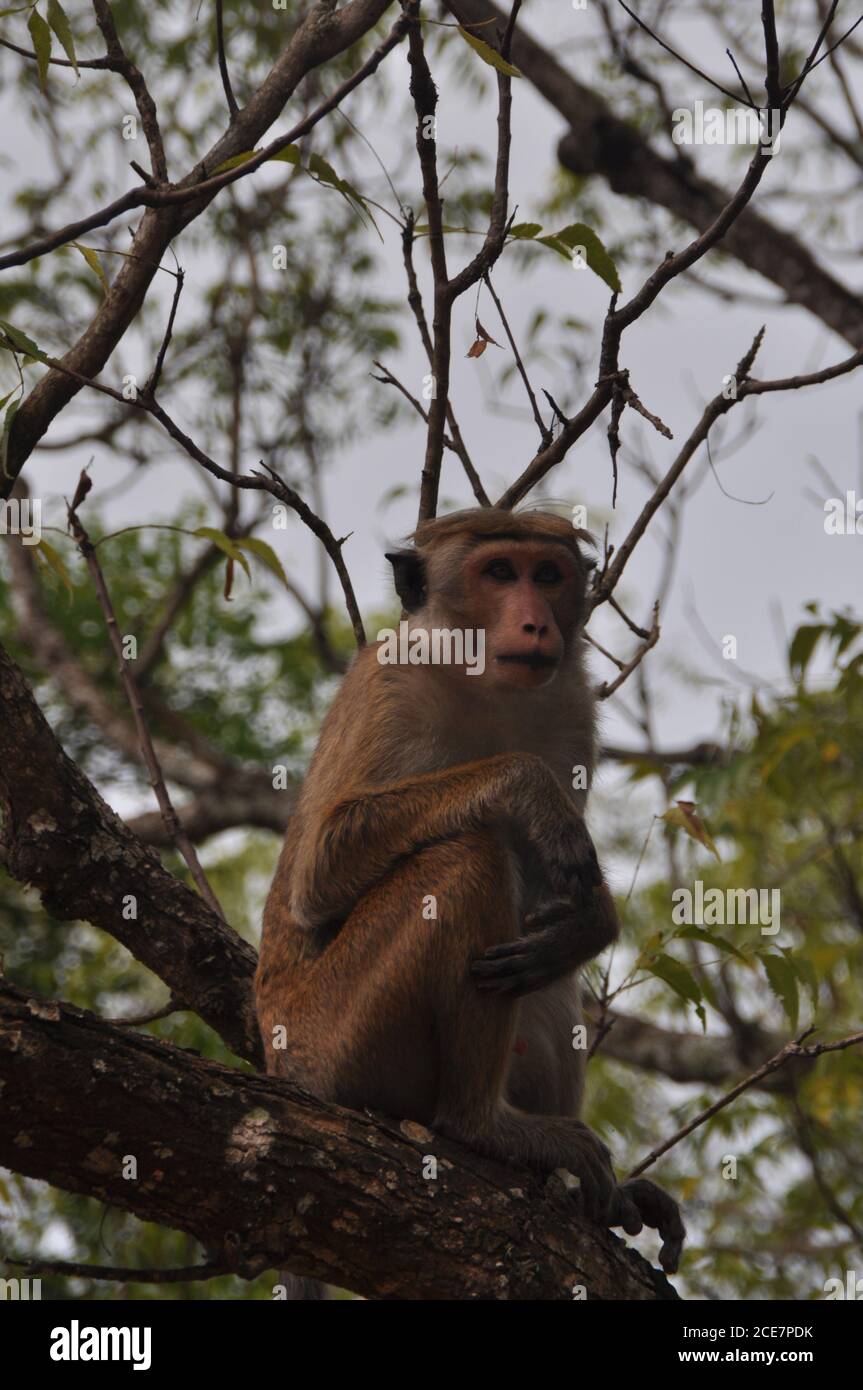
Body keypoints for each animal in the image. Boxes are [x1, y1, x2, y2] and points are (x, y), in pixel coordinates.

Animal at [255, 506, 685, 1293]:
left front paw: (592, 917)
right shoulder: (389, 682)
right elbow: (322, 865)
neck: (484, 683)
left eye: (546, 574)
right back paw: (480, 1124)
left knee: (542, 973)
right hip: (334, 1041)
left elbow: (558, 906)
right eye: (499, 573)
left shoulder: (570, 707)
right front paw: (523, 785)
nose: (535, 621)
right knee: (466, 857)